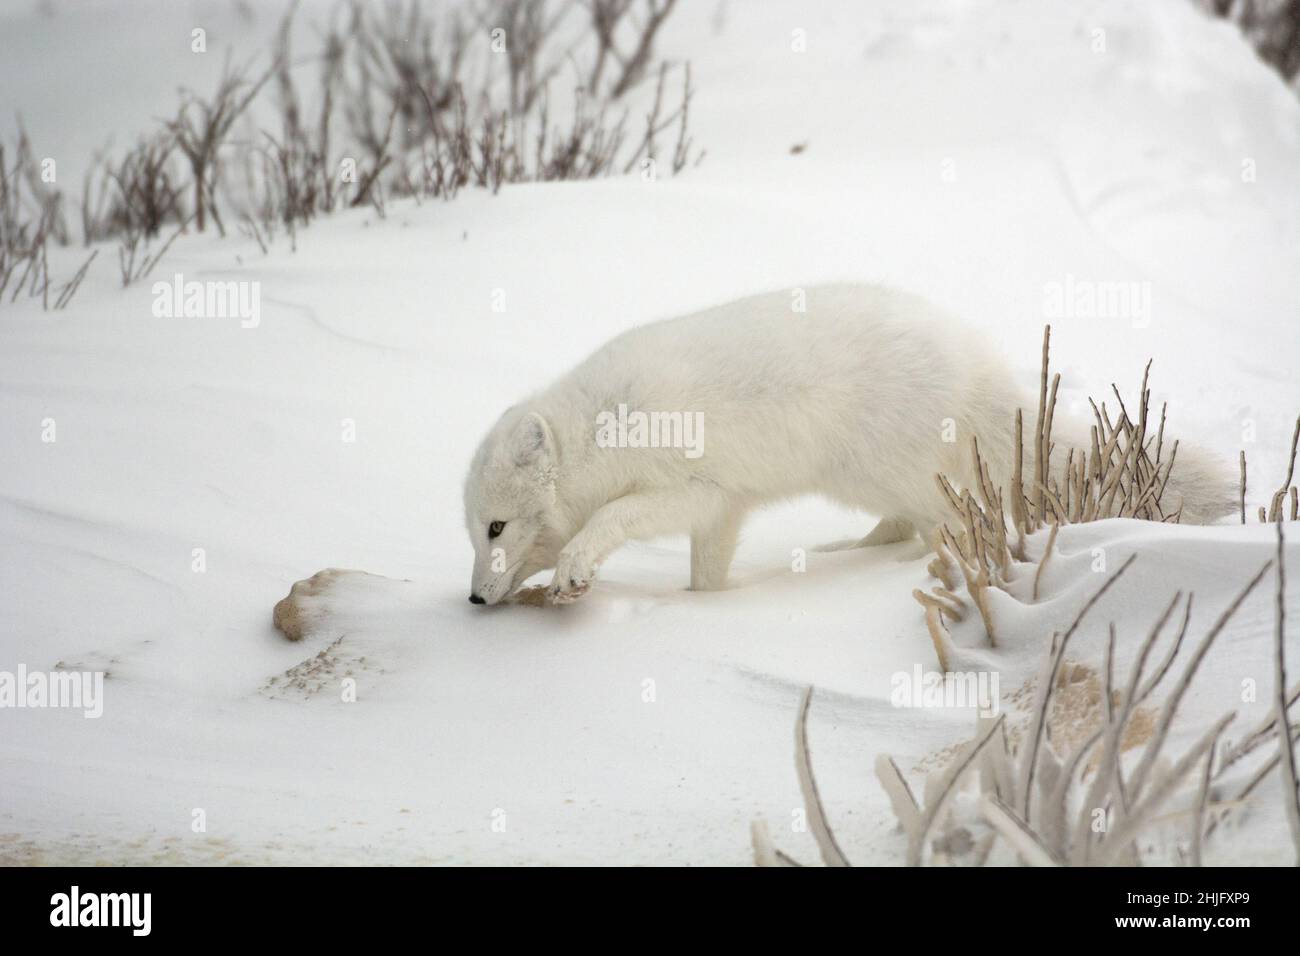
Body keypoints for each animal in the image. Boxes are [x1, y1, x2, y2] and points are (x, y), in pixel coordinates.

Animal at [463, 284, 1236, 605]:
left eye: (496, 527)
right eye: (475, 533)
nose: (472, 599)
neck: (600, 429)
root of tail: (976, 364)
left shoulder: (692, 488)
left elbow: (608, 518)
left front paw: (576, 567)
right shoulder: (722, 509)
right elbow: (706, 575)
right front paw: (706, 607)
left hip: (881, 472)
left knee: (943, 528)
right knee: (906, 527)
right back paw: (845, 554)